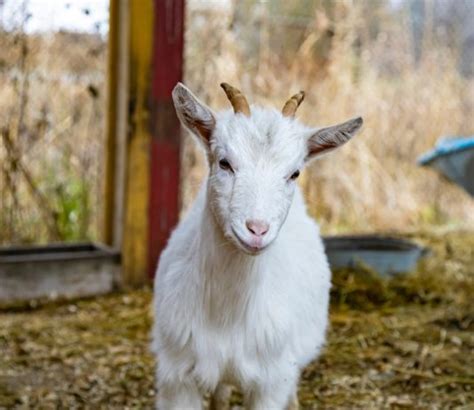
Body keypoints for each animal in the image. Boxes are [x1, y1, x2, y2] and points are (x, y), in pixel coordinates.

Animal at [152, 81, 362, 408]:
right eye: (224, 162)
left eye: (294, 172)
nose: (257, 229)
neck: (227, 315)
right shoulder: (178, 375)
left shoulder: (271, 379)